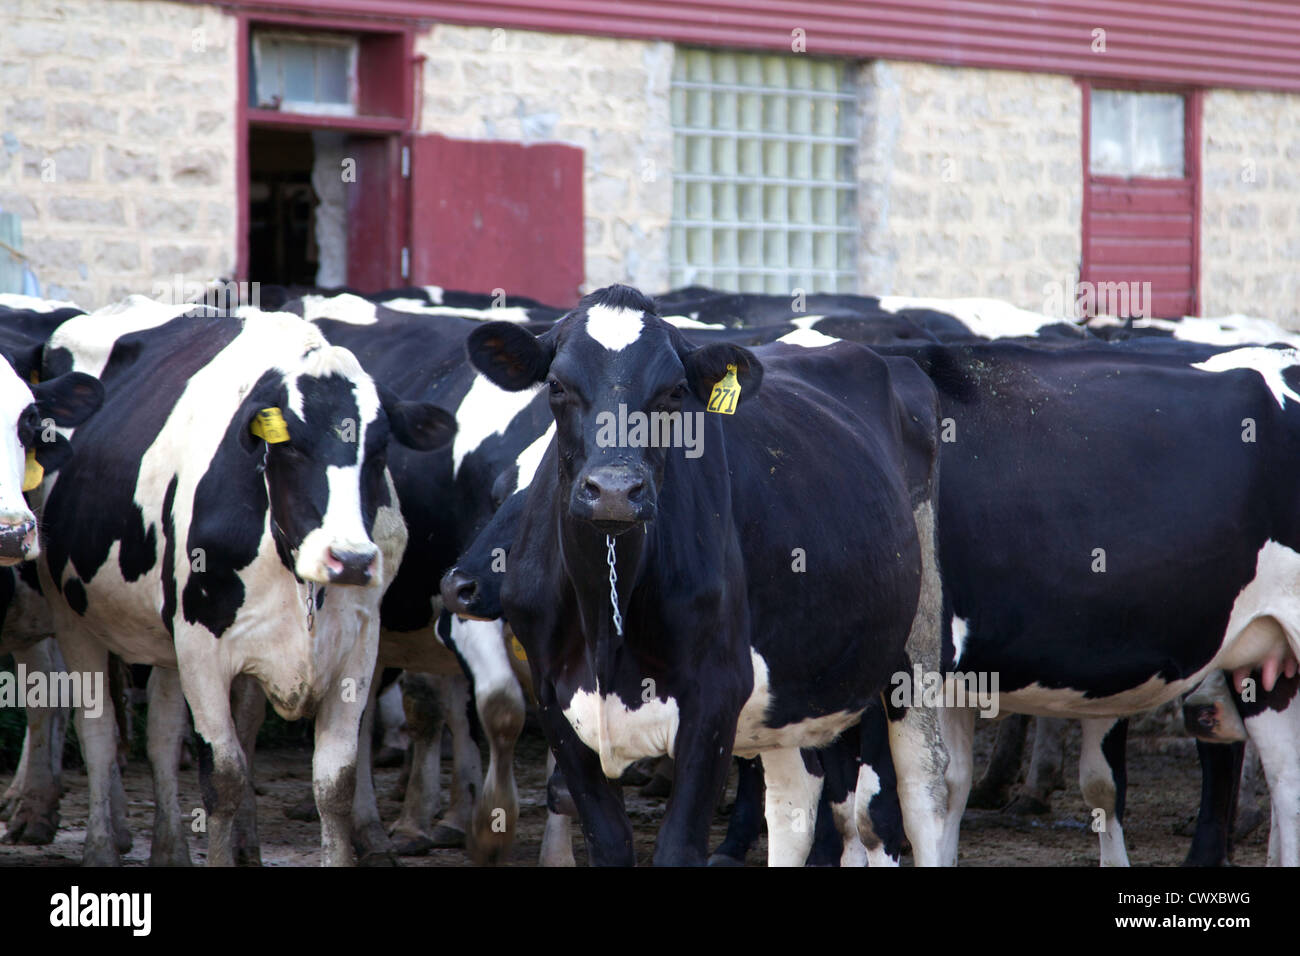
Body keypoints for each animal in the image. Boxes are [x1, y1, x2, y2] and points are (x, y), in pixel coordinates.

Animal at [36, 304, 455, 865]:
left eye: (381, 448)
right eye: (291, 446)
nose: (349, 559)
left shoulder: (357, 649)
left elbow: (335, 783)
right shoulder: (201, 647)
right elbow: (225, 778)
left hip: (166, 639)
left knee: (163, 734)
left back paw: (175, 849)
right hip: (71, 612)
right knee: (98, 731)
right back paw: (102, 847)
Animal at [463, 284, 949, 866]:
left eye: (674, 392)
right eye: (556, 385)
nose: (614, 491)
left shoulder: (715, 696)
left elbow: (679, 844)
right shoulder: (554, 699)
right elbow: (609, 840)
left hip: (914, 650)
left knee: (921, 797)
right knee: (794, 803)